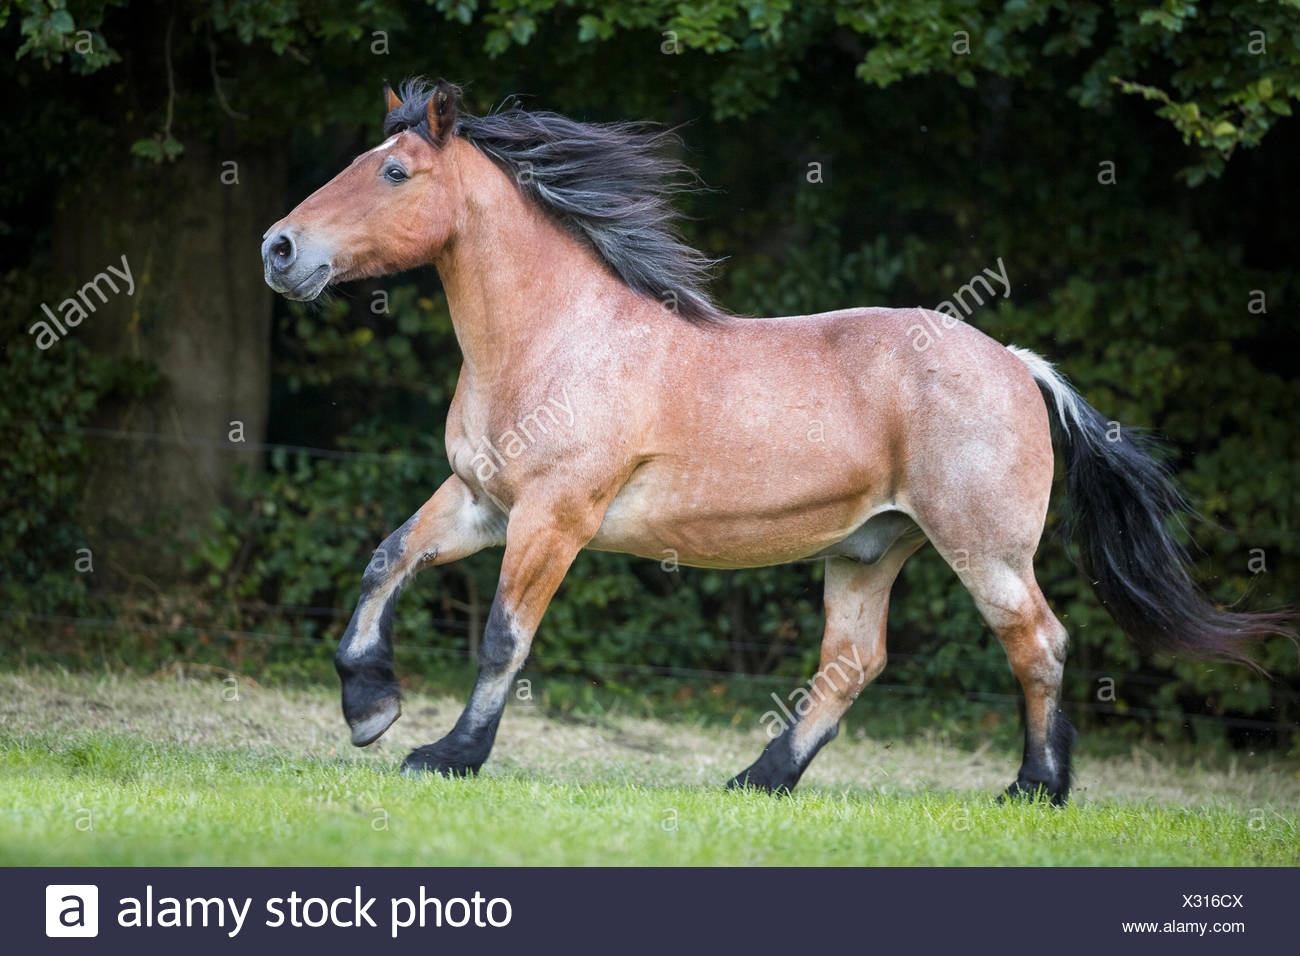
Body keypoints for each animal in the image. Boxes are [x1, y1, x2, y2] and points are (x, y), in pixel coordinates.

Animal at [260, 79, 1291, 805]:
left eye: (395, 173)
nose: (279, 249)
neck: (559, 335)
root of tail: (1015, 362)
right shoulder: (479, 501)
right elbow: (386, 561)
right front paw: (369, 707)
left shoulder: (553, 517)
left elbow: (505, 638)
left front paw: (445, 755)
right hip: (871, 549)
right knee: (852, 664)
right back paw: (761, 779)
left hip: (984, 550)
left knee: (1038, 642)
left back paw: (1034, 790)